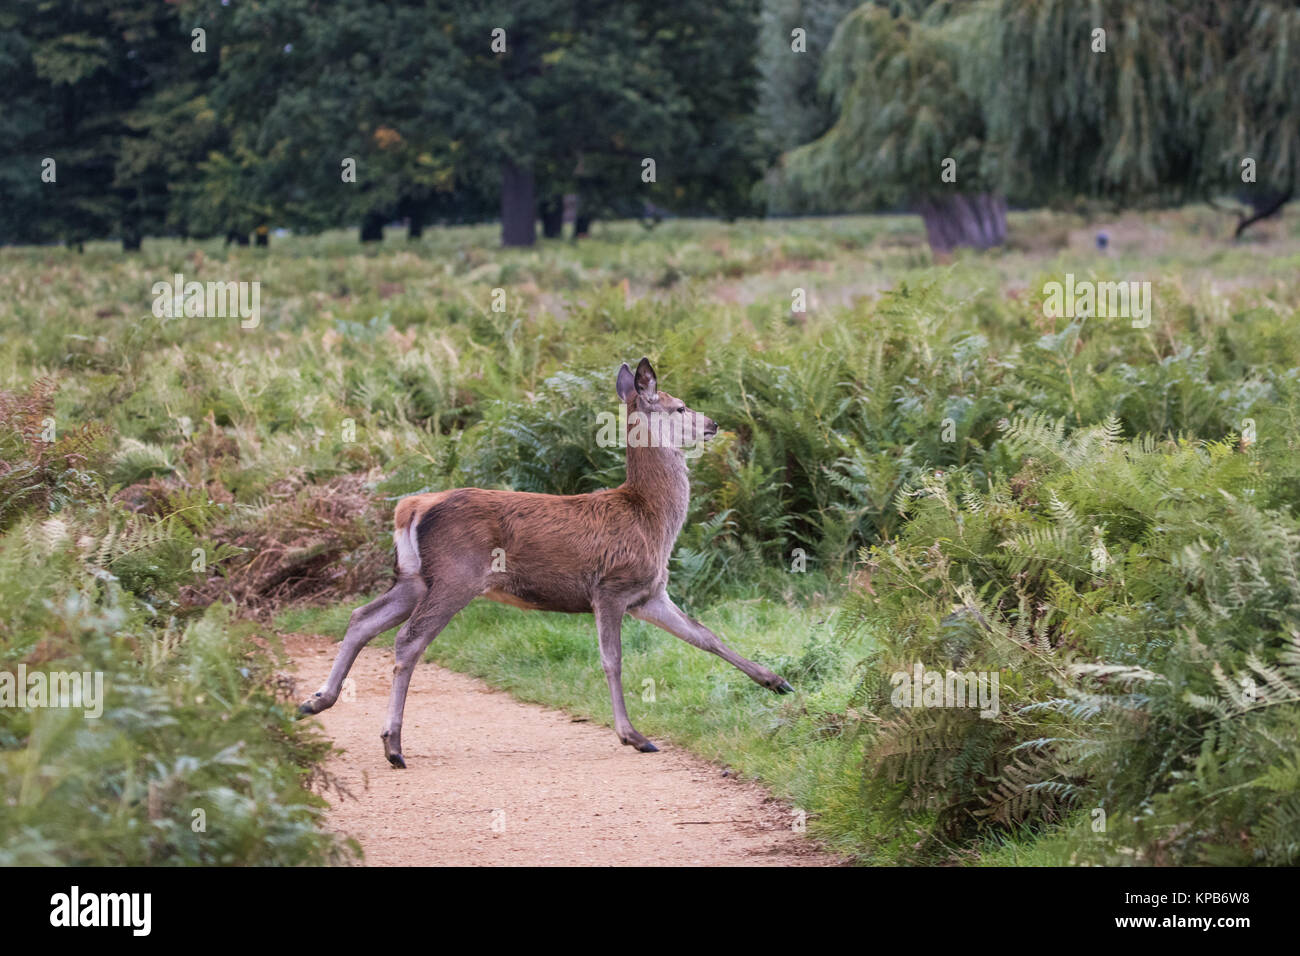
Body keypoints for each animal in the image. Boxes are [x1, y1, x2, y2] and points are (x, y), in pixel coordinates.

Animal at [298, 357, 794, 767]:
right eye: (678, 407)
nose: (713, 423)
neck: (651, 518)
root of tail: (412, 507)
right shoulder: (611, 588)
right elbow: (612, 660)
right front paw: (633, 735)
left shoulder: (649, 593)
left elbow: (704, 635)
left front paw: (776, 681)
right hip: (458, 575)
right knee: (407, 641)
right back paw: (393, 745)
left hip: (414, 577)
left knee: (361, 617)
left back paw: (315, 701)